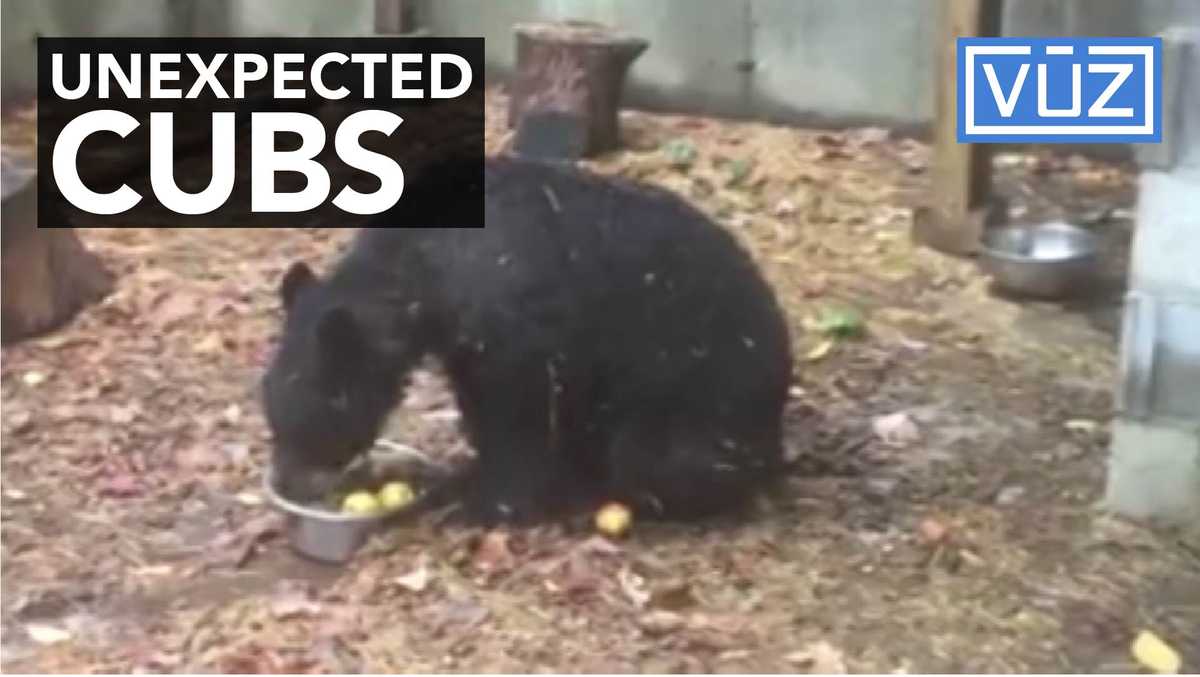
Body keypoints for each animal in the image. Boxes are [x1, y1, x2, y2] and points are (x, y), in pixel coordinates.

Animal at [261, 155, 792, 525]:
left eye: (318, 418)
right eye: (270, 414)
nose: (287, 482)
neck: (422, 268)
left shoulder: (514, 325)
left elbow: (519, 415)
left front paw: (487, 502)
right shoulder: (466, 344)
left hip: (701, 402)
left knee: (654, 460)